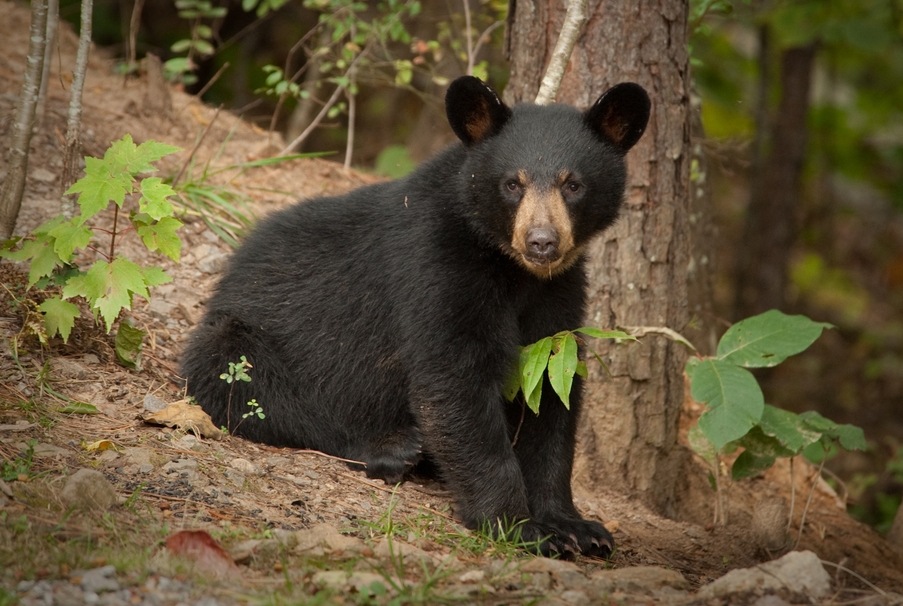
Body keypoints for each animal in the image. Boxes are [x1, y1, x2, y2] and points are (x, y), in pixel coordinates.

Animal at [180, 75, 650, 558]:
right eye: (512, 184)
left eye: (573, 185)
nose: (542, 242)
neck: (514, 271)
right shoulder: (435, 265)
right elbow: (453, 381)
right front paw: (517, 525)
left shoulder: (558, 294)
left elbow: (553, 389)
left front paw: (576, 526)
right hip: (242, 337)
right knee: (248, 386)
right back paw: (392, 448)